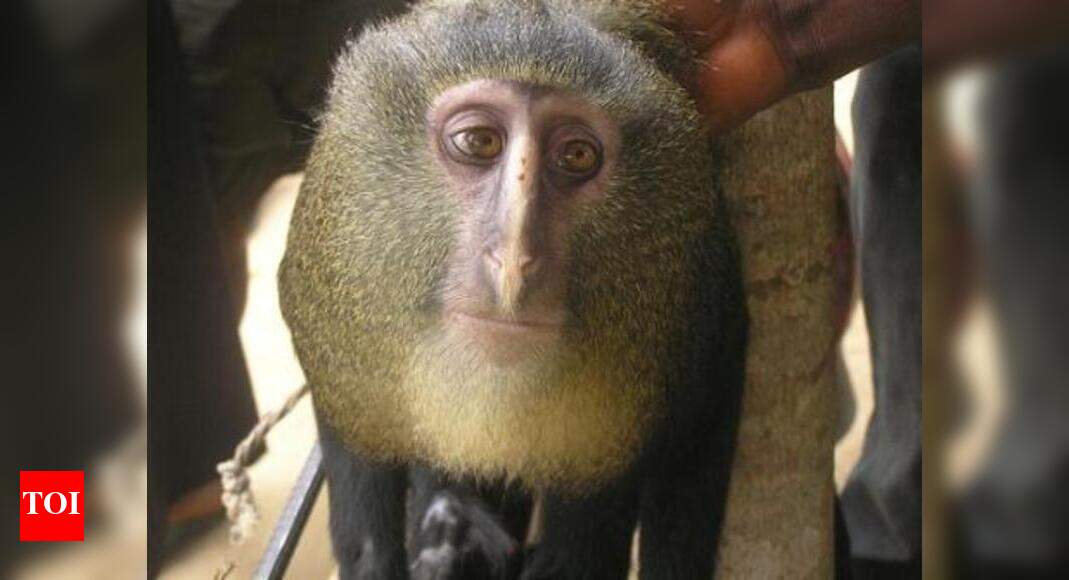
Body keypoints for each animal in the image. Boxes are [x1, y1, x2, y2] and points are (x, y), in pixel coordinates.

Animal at [278, 1, 748, 578]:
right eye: (479, 142)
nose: (513, 260)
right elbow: (362, 515)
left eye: (576, 156)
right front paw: (437, 536)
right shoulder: (333, 337)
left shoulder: (703, 337)